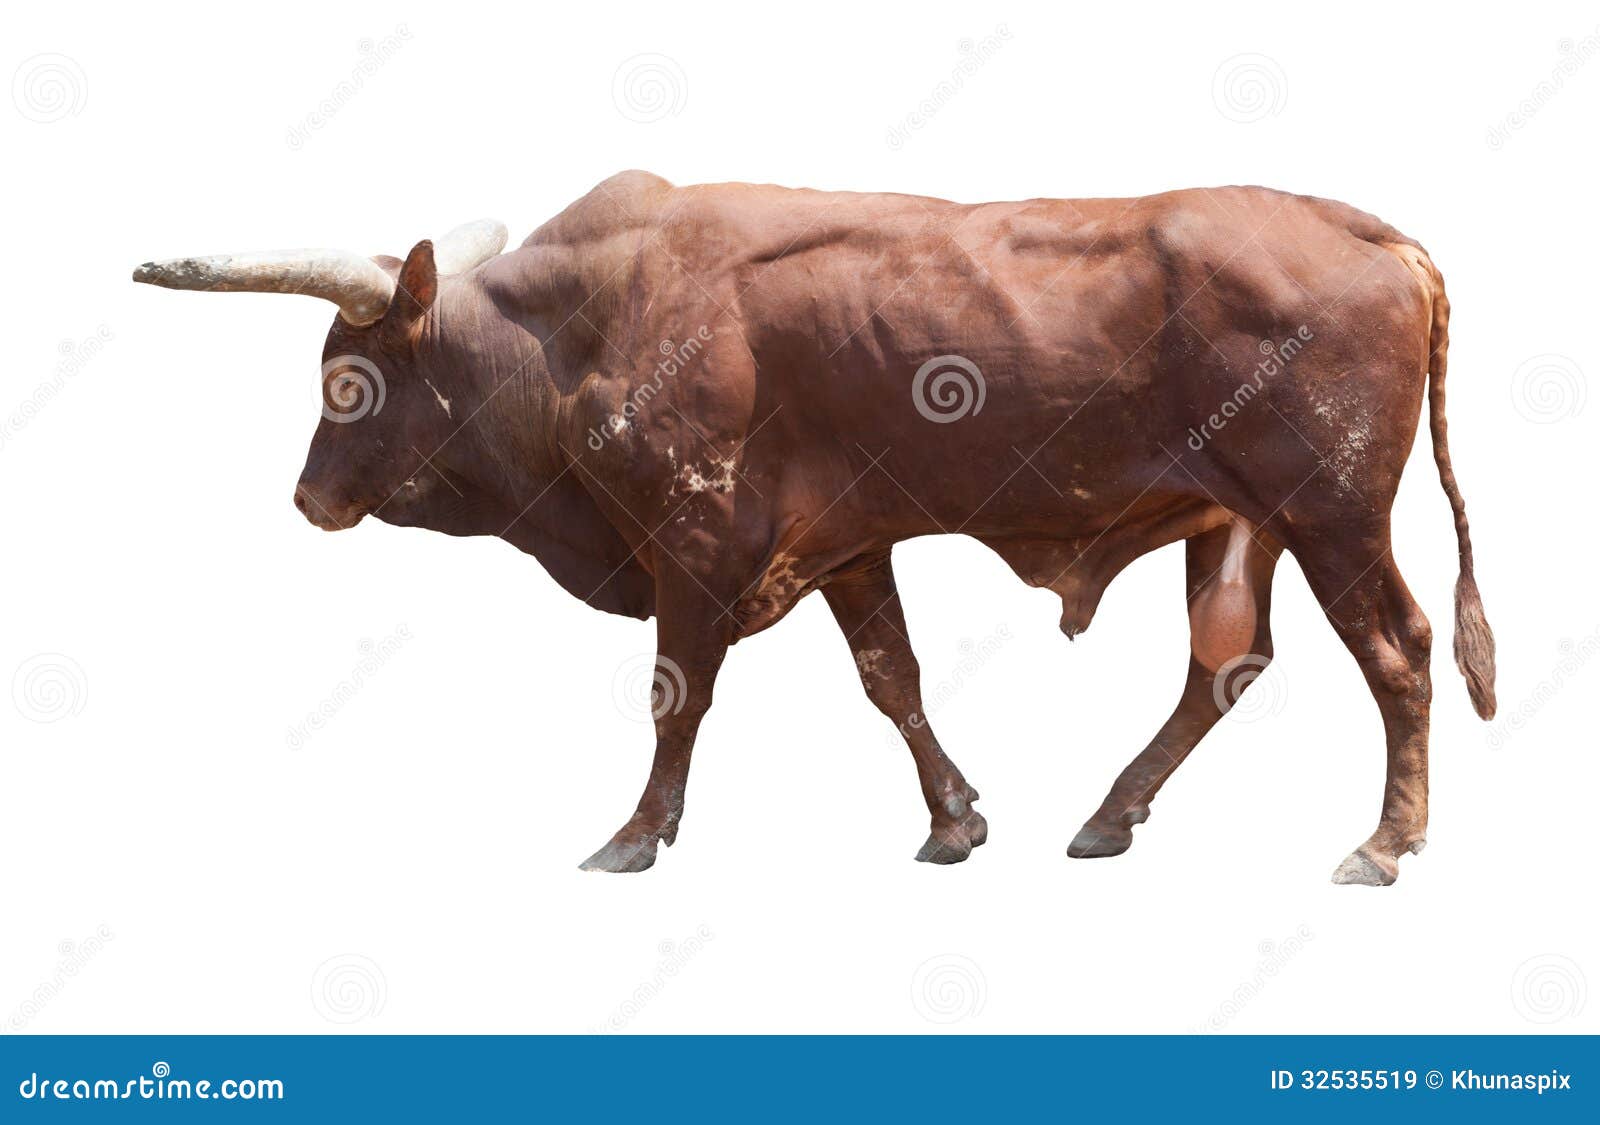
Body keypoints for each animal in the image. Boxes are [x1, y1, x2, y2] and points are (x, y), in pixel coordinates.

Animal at [133, 171, 1496, 883]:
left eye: (345, 381)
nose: (306, 497)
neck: (572, 335)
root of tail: (1370, 230)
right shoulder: (847, 546)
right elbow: (891, 678)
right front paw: (955, 820)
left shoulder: (693, 546)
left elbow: (676, 698)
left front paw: (634, 836)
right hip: (1237, 521)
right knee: (1225, 664)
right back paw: (1110, 813)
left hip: (1331, 515)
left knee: (1398, 654)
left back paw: (1385, 842)